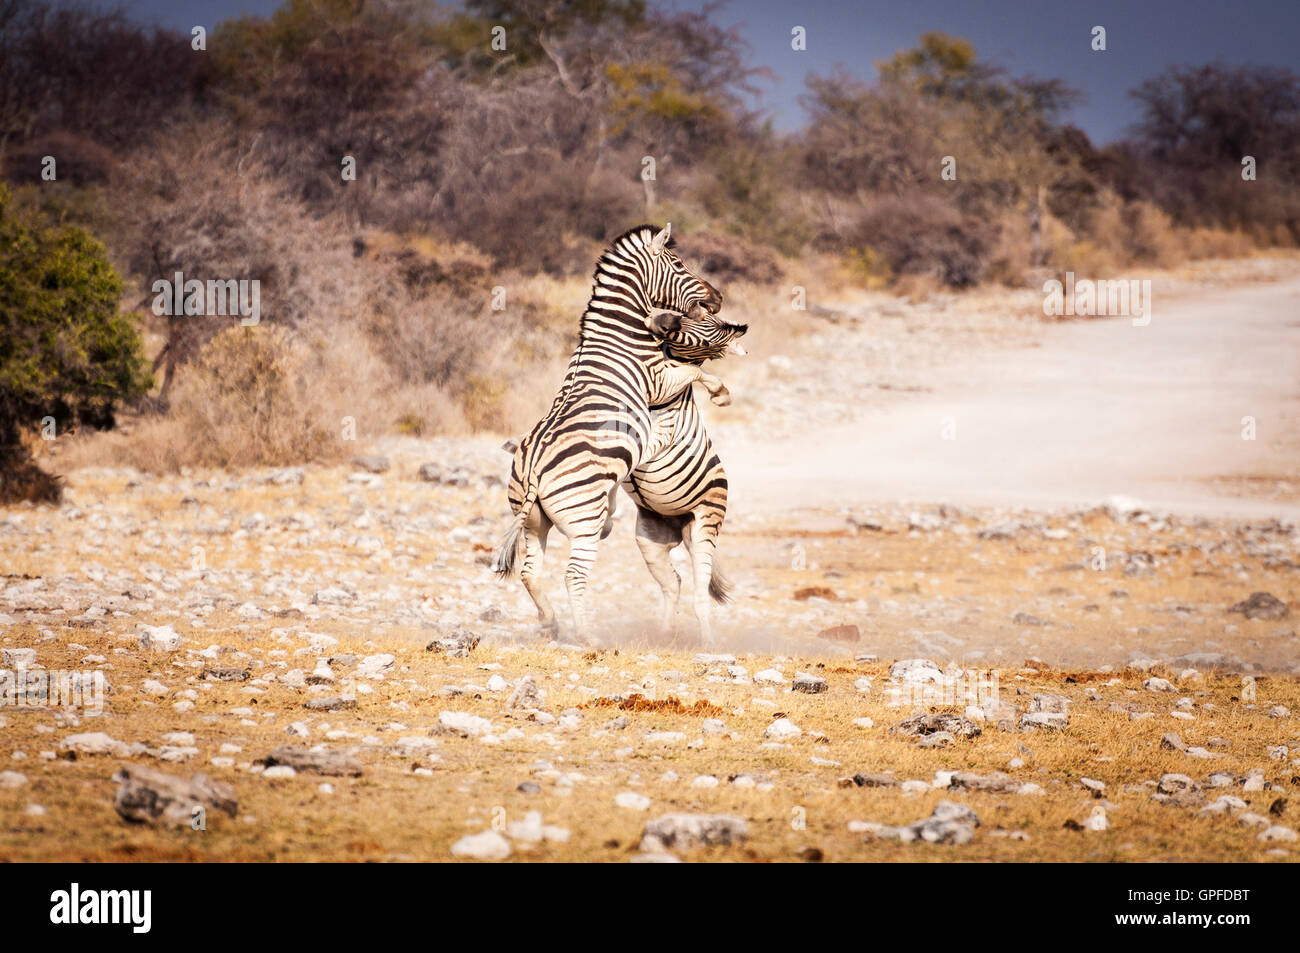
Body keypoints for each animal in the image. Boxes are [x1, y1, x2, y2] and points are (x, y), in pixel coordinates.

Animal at [494, 224, 742, 640]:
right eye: (679, 264)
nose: (719, 297)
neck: (619, 335)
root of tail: (533, 473)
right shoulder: (658, 381)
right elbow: (694, 371)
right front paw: (720, 392)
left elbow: (693, 372)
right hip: (585, 522)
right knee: (575, 575)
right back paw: (586, 635)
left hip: (533, 523)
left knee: (531, 573)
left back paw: (551, 623)